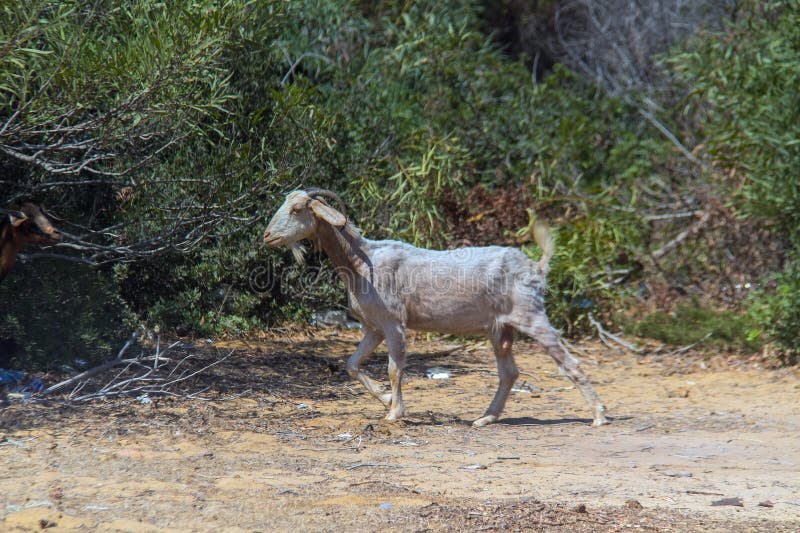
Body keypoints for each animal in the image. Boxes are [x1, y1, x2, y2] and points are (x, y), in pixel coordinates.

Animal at [263, 189, 608, 427]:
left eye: (297, 209)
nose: (267, 236)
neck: (362, 259)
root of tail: (536, 267)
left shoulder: (394, 323)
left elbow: (394, 368)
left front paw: (395, 413)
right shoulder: (374, 327)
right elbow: (351, 364)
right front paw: (385, 399)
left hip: (531, 316)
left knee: (567, 361)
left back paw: (599, 415)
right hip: (501, 329)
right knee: (509, 372)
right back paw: (485, 418)